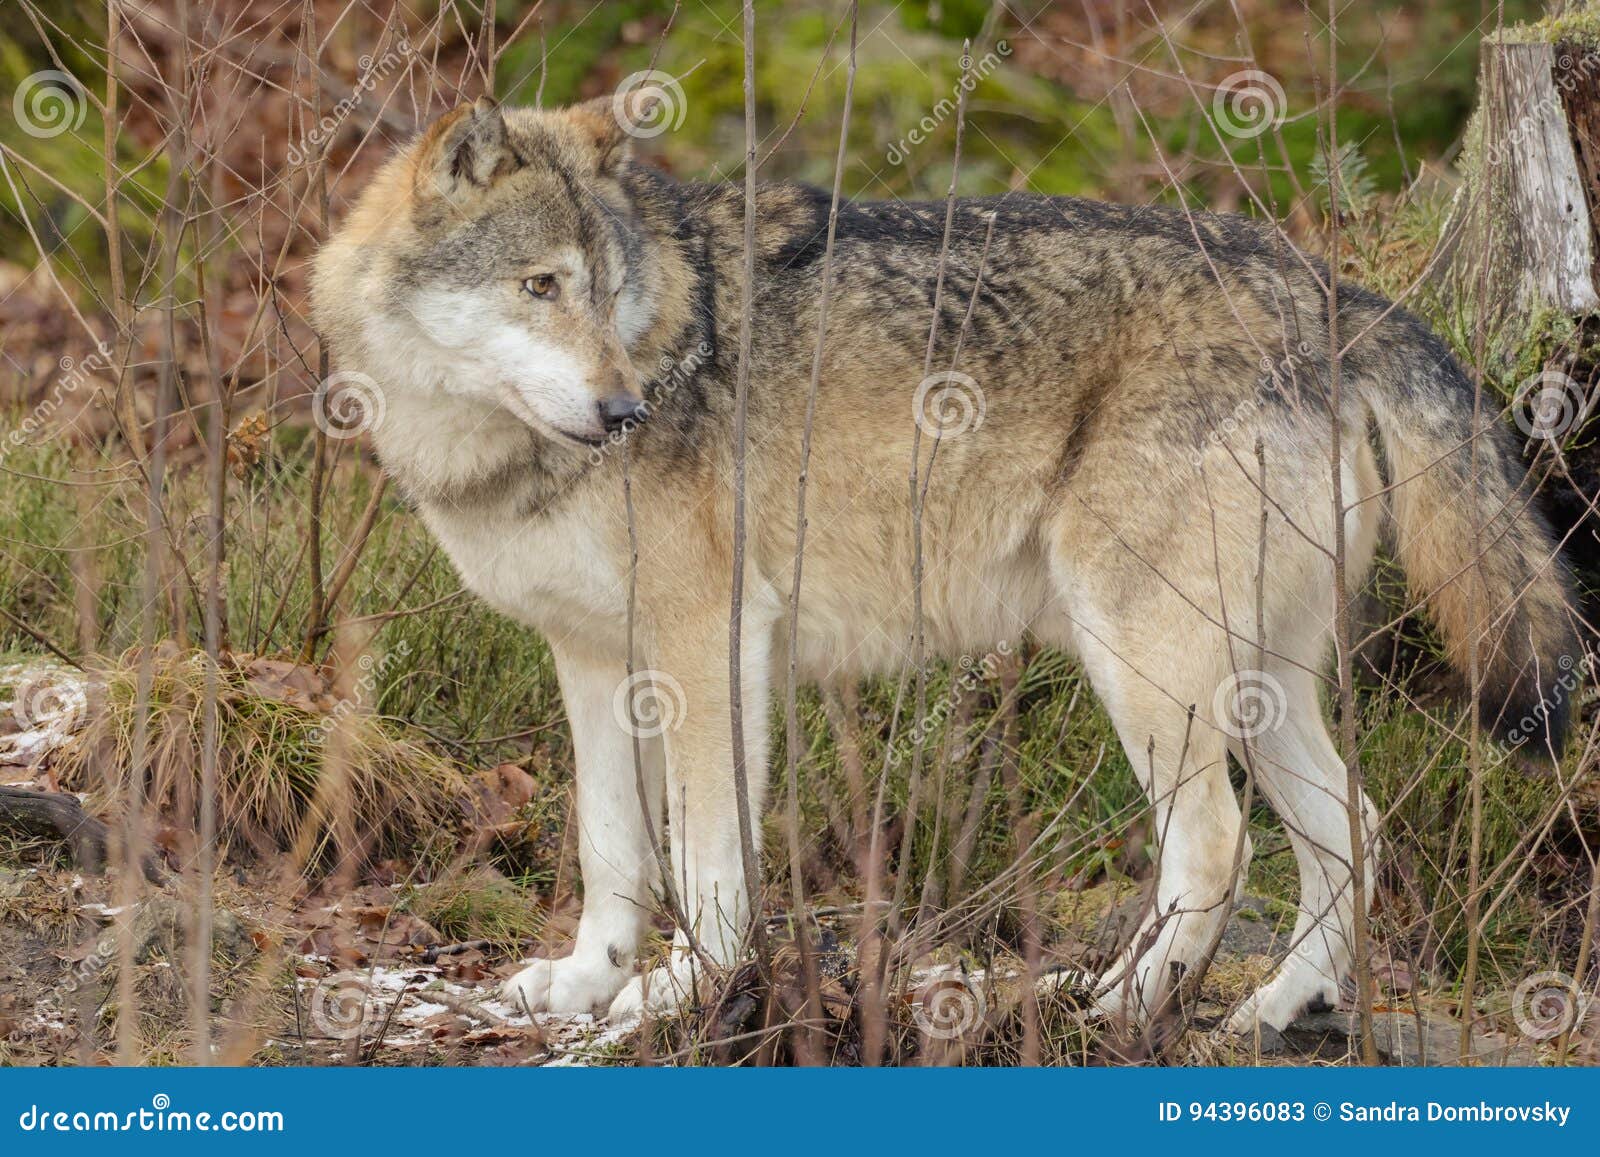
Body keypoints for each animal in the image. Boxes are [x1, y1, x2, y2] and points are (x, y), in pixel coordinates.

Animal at [310, 97, 1576, 1034]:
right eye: (540, 286)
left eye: (604, 292)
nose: (626, 408)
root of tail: (1329, 292)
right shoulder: (588, 657)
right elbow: (610, 846)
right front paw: (583, 983)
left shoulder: (709, 639)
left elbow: (712, 859)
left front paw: (682, 994)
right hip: (1256, 685)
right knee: (1352, 827)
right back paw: (1273, 1006)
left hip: (1144, 664)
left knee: (1217, 845)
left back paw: (1115, 1010)